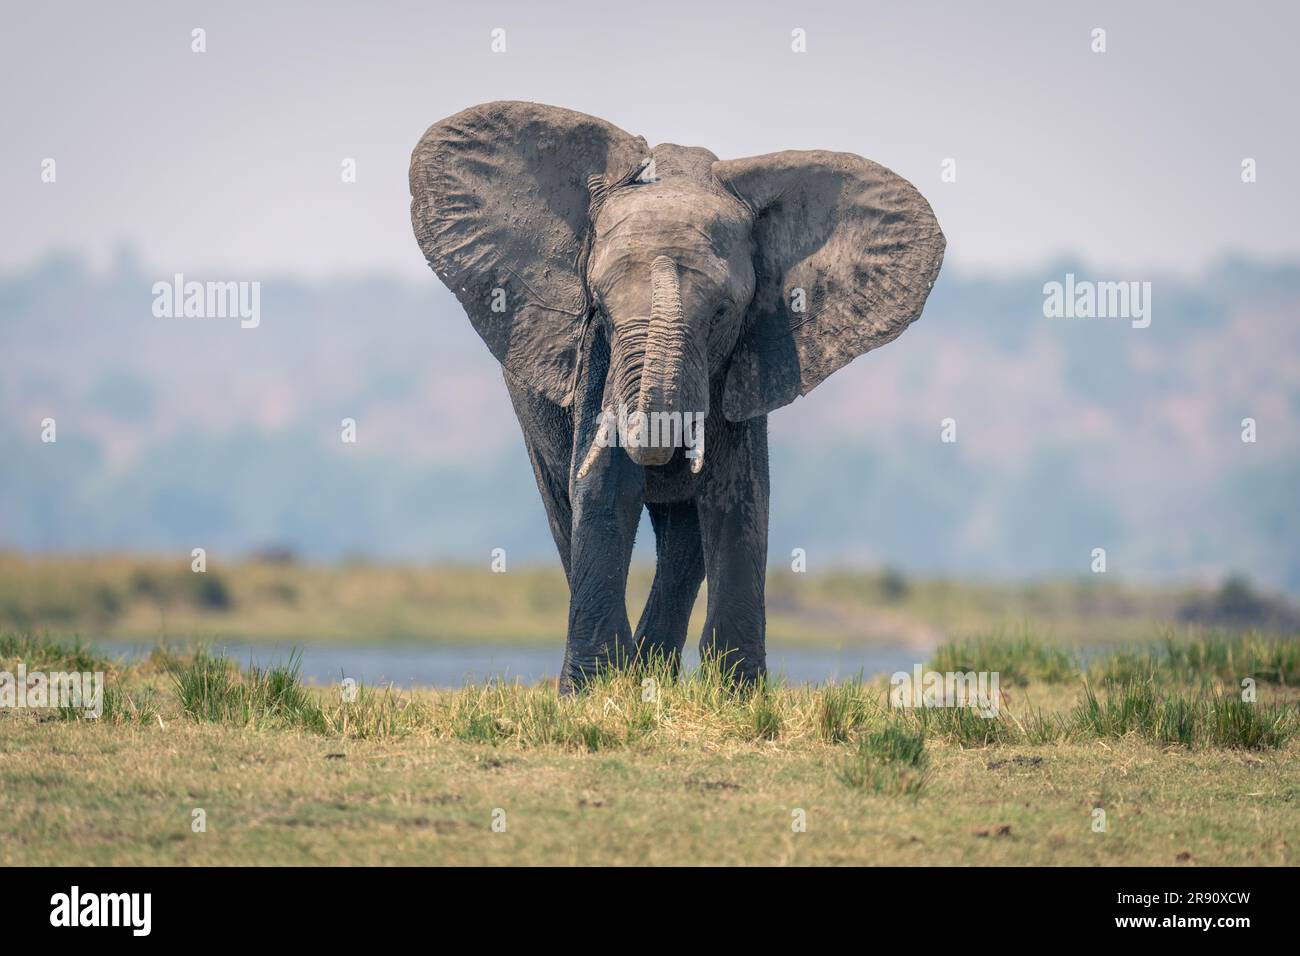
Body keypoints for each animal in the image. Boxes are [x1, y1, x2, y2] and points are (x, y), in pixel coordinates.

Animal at [410, 101, 944, 692]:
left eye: (723, 312)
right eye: (598, 303)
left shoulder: (744, 358)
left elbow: (738, 495)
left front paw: (738, 693)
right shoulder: (596, 356)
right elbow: (604, 484)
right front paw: (592, 690)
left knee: (684, 536)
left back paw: (652, 672)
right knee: (563, 505)